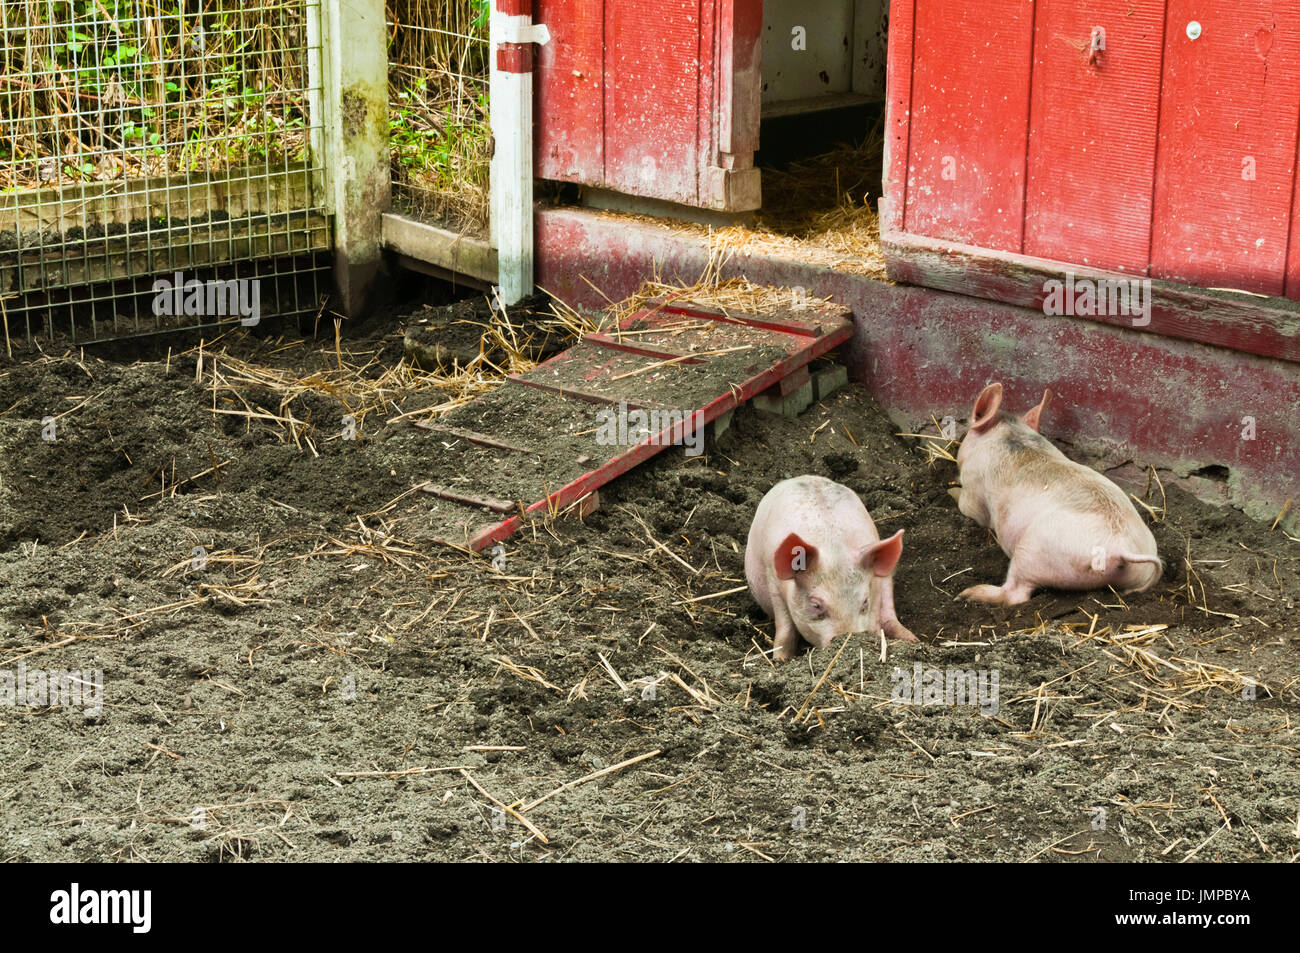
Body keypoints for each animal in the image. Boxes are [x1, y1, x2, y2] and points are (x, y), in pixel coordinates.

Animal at [745, 475, 916, 661]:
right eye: (816, 605)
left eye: (865, 602)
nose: (847, 636)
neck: (834, 549)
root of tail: (802, 477)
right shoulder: (773, 580)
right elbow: (786, 629)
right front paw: (780, 660)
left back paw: (913, 639)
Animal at [950, 382, 1162, 605]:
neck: (1009, 434)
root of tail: (1121, 548)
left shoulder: (973, 485)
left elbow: (971, 509)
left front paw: (951, 489)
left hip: (1033, 550)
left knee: (1015, 593)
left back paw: (967, 594)